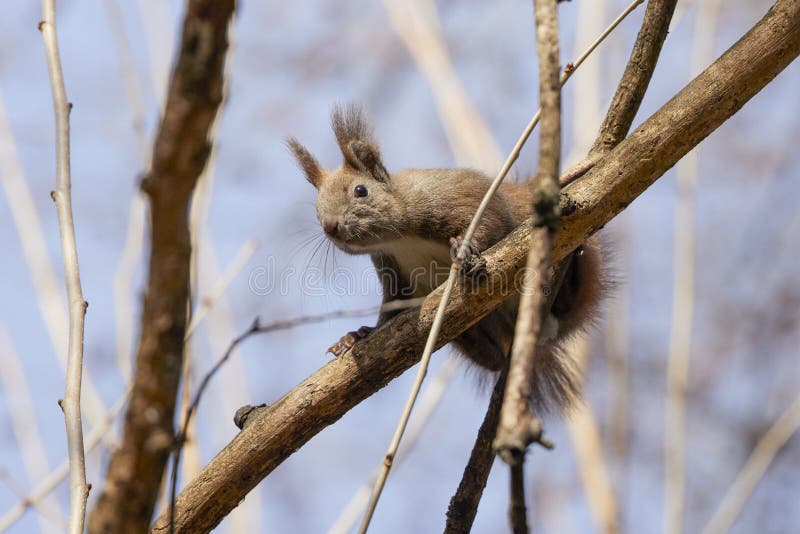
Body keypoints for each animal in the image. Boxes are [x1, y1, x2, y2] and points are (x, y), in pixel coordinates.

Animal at [288, 104, 603, 412]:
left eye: (360, 191)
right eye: (317, 209)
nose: (330, 226)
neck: (398, 238)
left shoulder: (454, 197)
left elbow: (490, 218)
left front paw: (465, 247)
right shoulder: (391, 269)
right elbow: (391, 311)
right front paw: (358, 335)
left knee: (568, 298)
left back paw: (570, 266)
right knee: (494, 361)